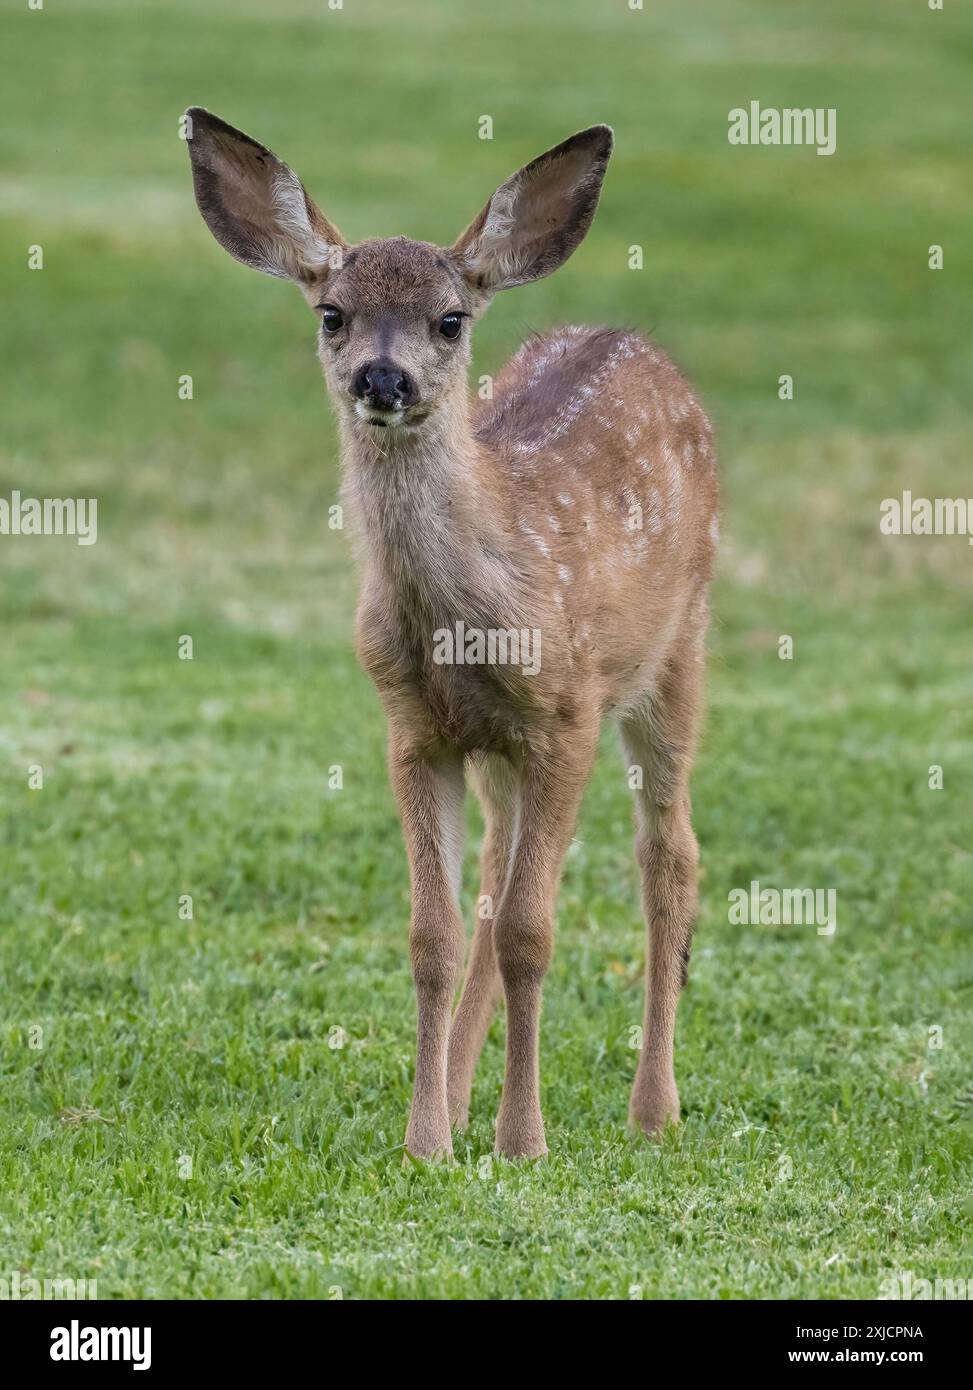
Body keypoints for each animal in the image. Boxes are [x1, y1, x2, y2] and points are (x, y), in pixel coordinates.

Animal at [185, 109, 719, 1159]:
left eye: (449, 319)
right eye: (331, 313)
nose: (381, 377)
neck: (463, 622)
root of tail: (639, 344)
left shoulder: (566, 714)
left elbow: (531, 931)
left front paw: (525, 1142)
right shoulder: (412, 728)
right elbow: (435, 933)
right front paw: (427, 1138)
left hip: (680, 648)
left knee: (668, 856)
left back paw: (654, 1110)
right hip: (498, 749)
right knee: (496, 882)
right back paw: (468, 1093)